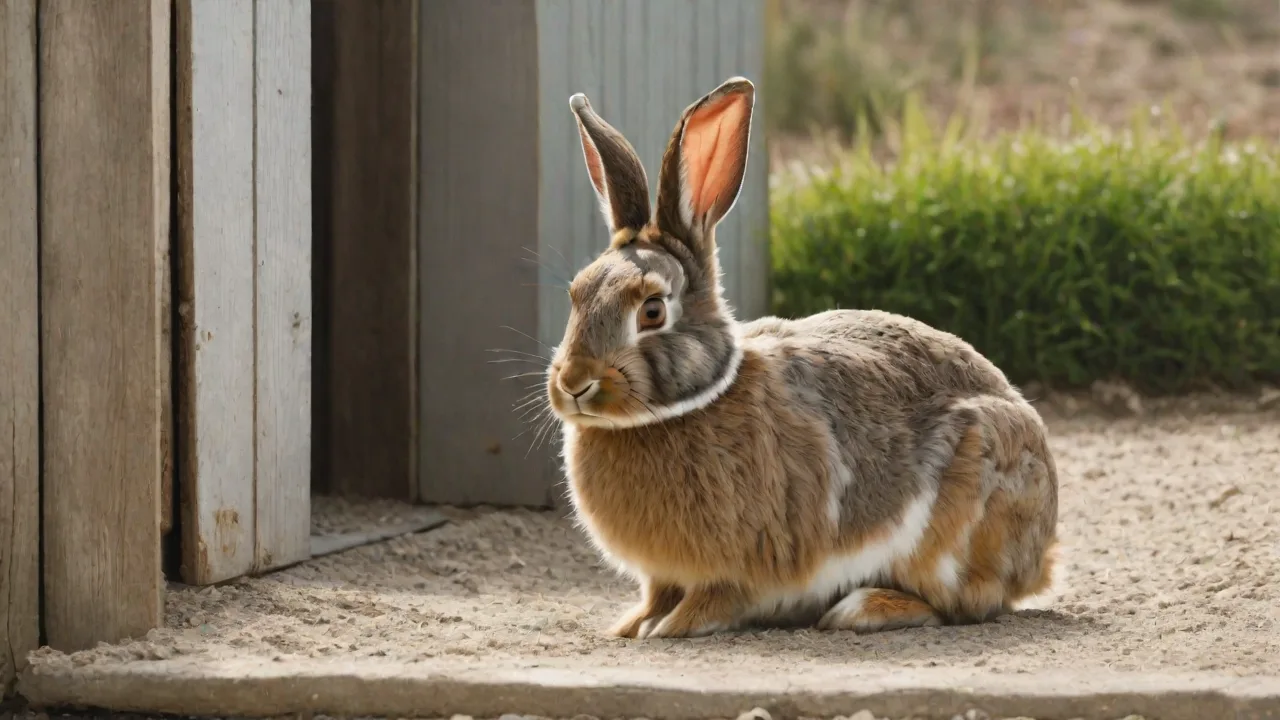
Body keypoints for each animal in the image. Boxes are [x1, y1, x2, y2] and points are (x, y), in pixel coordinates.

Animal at [546, 76, 1060, 639]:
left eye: (653, 311)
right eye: (576, 294)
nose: (574, 383)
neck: (687, 404)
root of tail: (1042, 549)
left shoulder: (741, 568)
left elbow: (715, 597)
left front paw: (671, 627)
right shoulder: (662, 575)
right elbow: (656, 593)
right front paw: (633, 623)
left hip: (959, 524)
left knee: (963, 604)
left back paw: (864, 608)